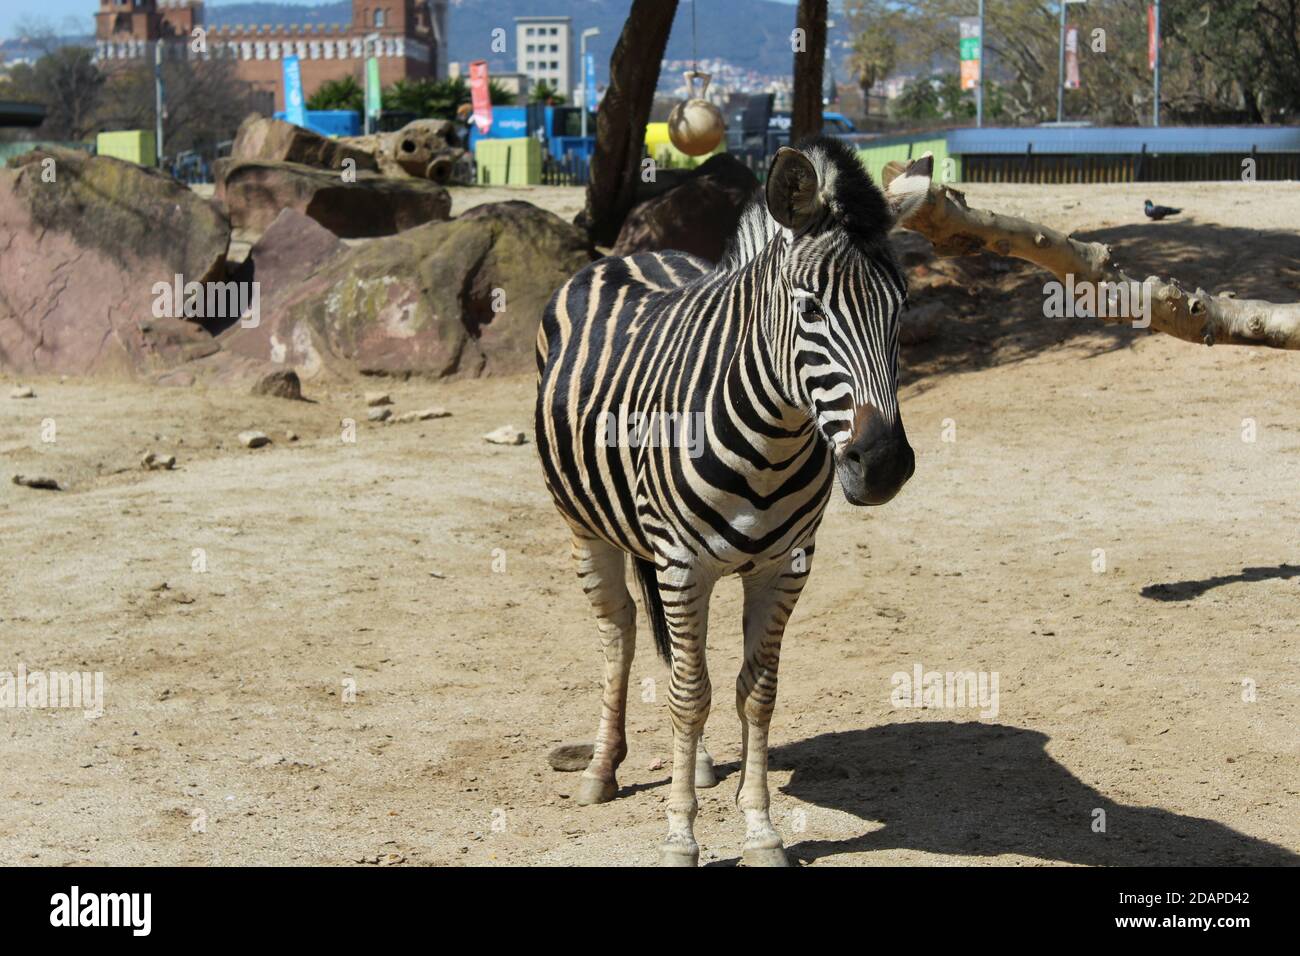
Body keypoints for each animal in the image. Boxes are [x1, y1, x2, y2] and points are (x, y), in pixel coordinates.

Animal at [534, 136, 933, 866]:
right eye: (810, 311)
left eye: (901, 310)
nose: (884, 465)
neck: (772, 439)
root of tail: (625, 253)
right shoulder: (683, 564)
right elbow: (690, 696)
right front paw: (680, 838)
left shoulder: (786, 567)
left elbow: (756, 693)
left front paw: (761, 831)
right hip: (586, 527)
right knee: (620, 632)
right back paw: (602, 770)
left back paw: (694, 765)